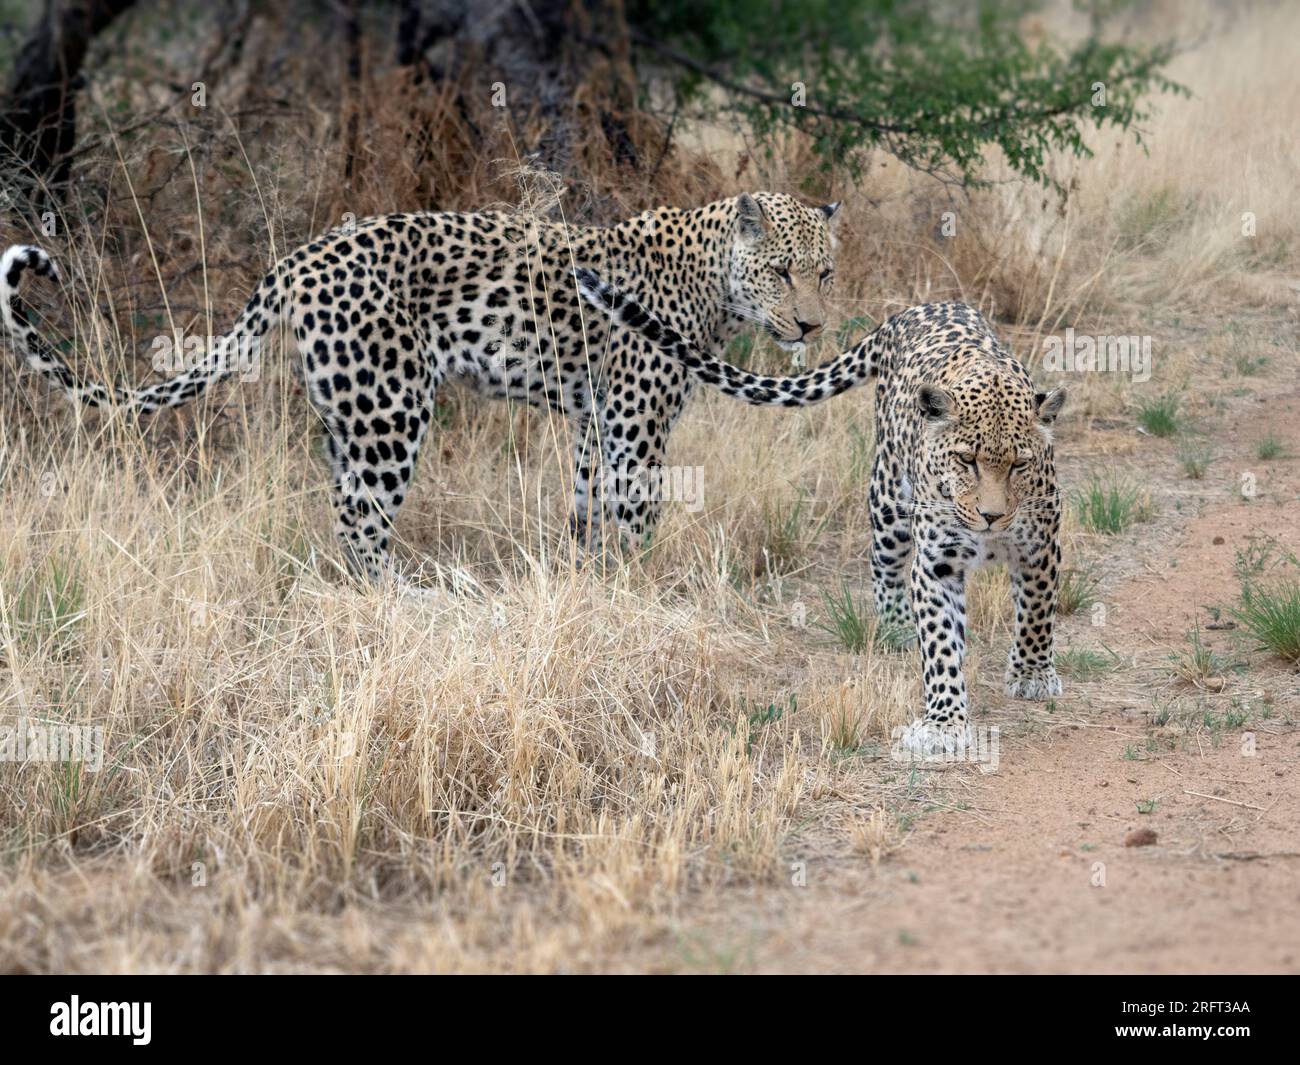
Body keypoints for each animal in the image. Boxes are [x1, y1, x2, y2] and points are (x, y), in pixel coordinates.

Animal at [0, 192, 840, 582]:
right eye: (781, 271)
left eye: (824, 272)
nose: (810, 325)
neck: (716, 286)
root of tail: (300, 256)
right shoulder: (635, 422)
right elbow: (636, 515)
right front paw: (639, 588)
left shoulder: (593, 419)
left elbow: (587, 506)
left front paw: (589, 578)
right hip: (393, 406)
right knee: (361, 520)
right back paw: (401, 602)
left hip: (351, 411)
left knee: (345, 510)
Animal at [575, 267, 1067, 757]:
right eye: (966, 460)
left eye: (1020, 465)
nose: (991, 516)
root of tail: (913, 311)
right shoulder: (936, 564)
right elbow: (942, 645)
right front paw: (944, 723)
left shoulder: (1040, 546)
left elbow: (1037, 612)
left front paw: (1032, 674)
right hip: (889, 499)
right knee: (883, 564)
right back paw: (897, 627)